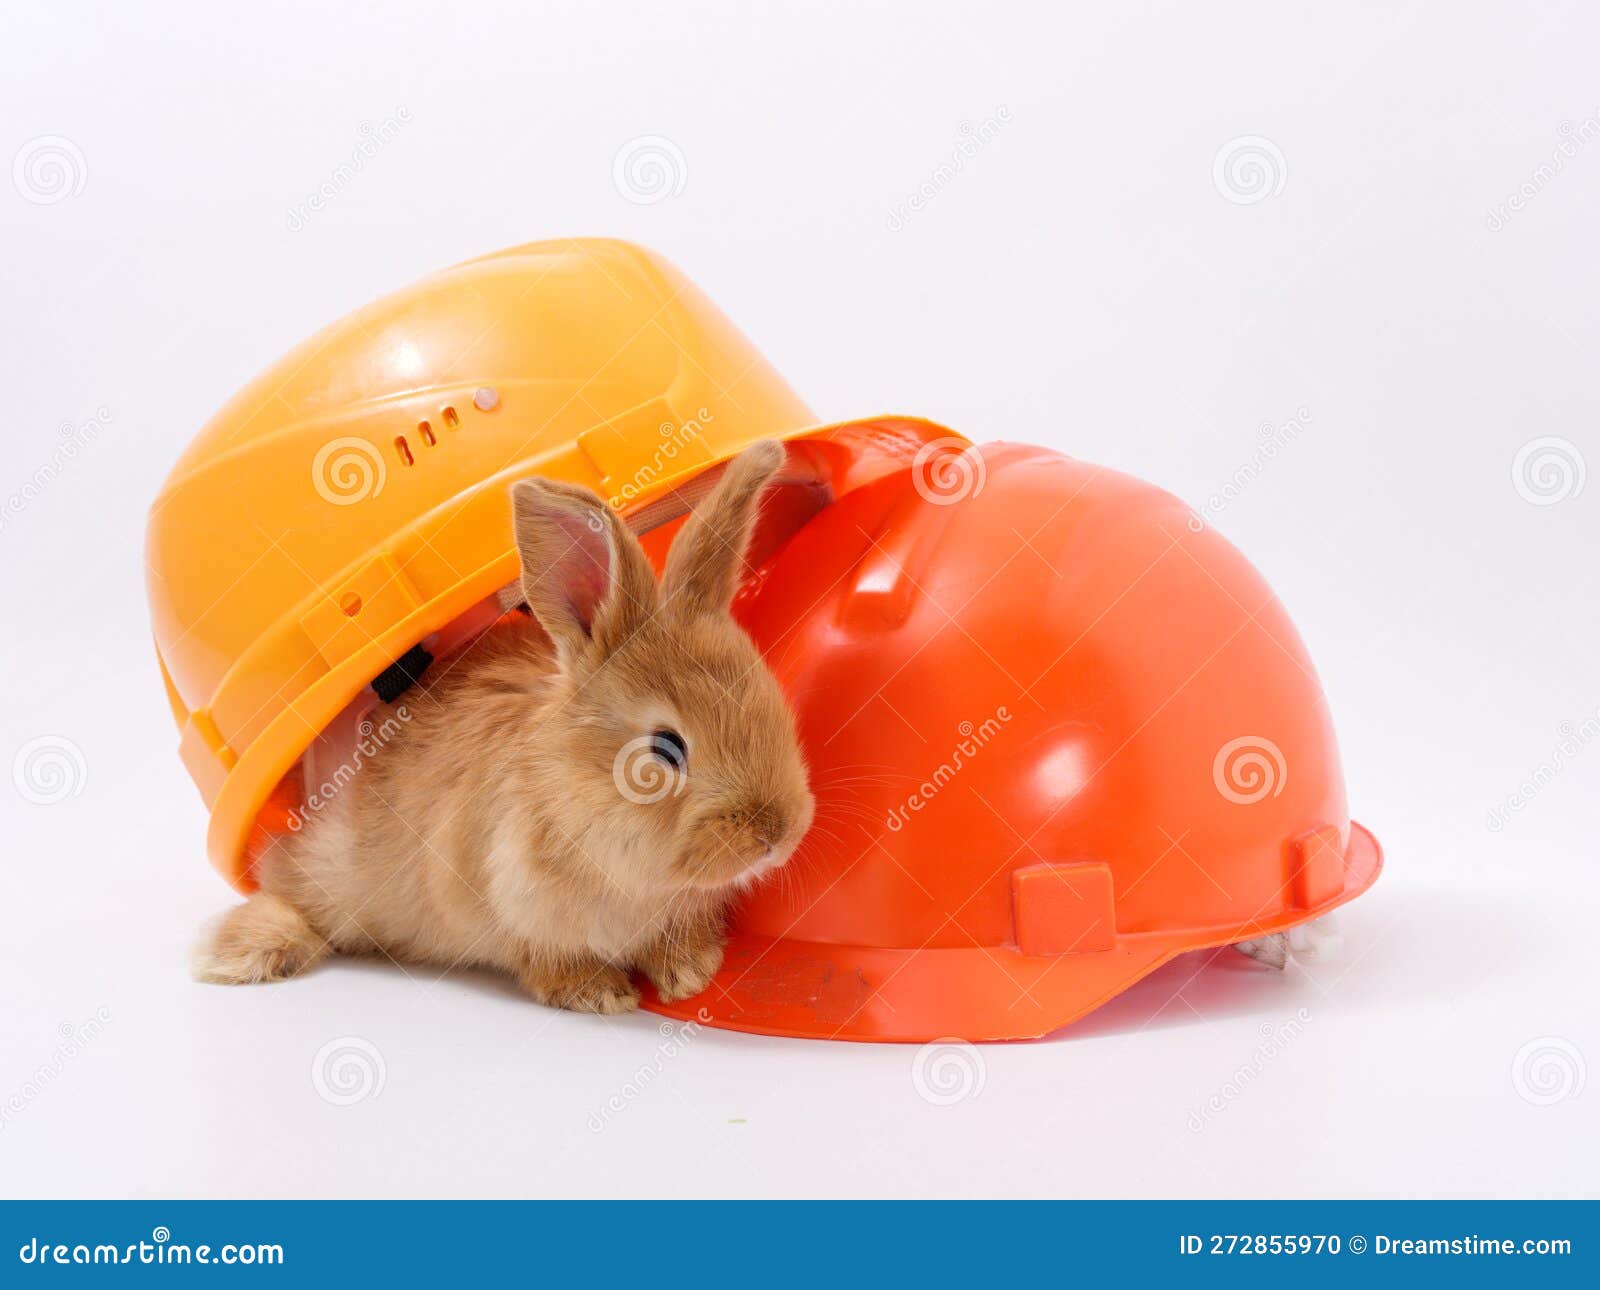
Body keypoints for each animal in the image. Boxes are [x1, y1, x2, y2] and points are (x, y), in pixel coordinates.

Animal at [194, 440, 815, 1015]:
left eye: (770, 698)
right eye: (665, 747)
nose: (775, 835)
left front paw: (691, 973)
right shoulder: (501, 905)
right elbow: (543, 959)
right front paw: (602, 995)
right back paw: (247, 954)